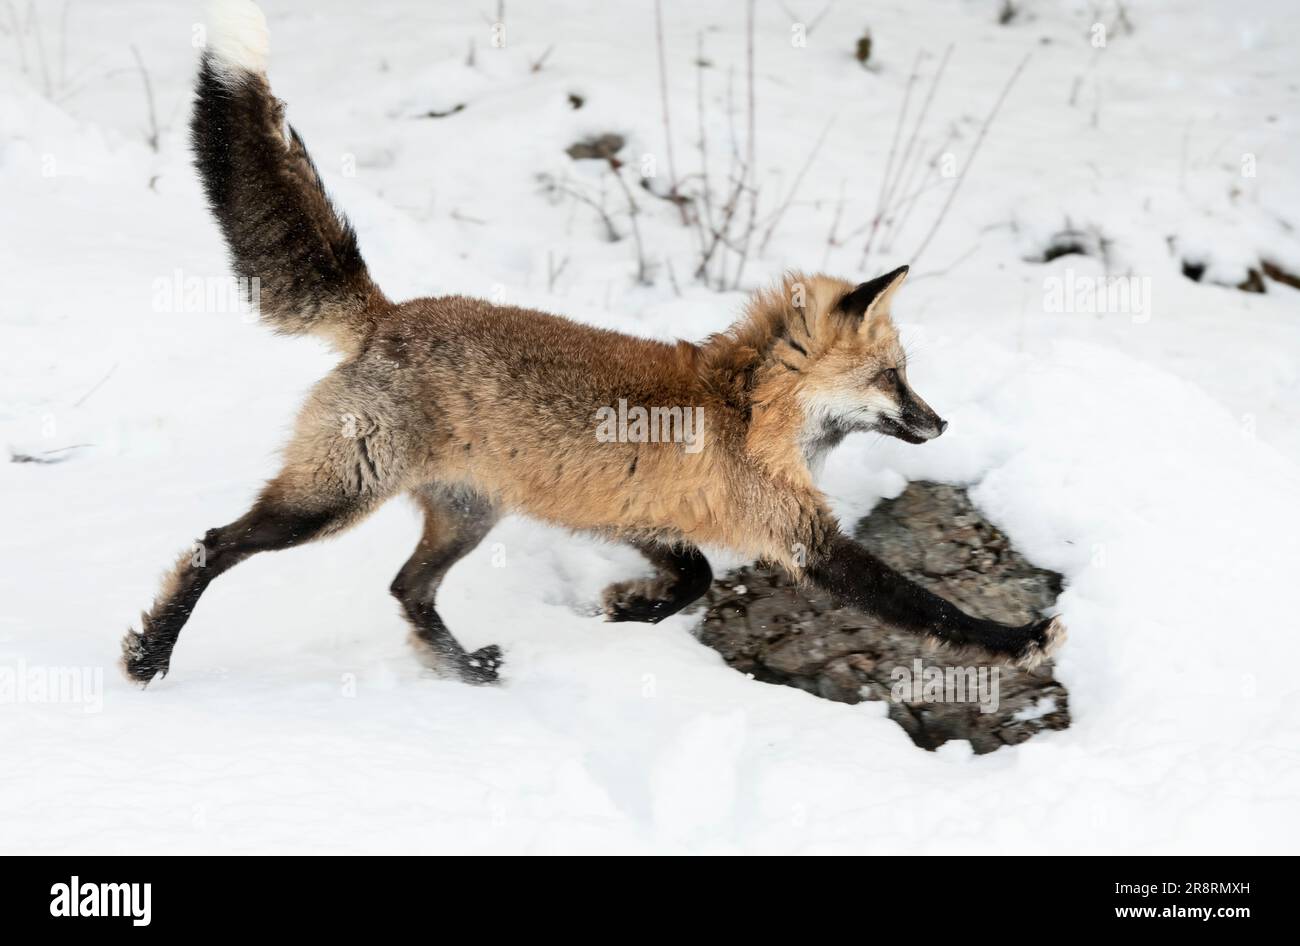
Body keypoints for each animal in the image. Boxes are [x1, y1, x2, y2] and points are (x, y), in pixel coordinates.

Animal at [121, 0, 1065, 687]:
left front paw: (626, 610)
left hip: (469, 514)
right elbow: (928, 610)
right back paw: (151, 654)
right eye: (895, 376)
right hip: (333, 499)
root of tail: (389, 312)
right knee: (215, 545)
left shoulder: (641, 513)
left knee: (405, 588)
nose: (940, 424)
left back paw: (465, 669)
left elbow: (695, 577)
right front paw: (1021, 640)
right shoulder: (801, 539)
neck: (751, 406)